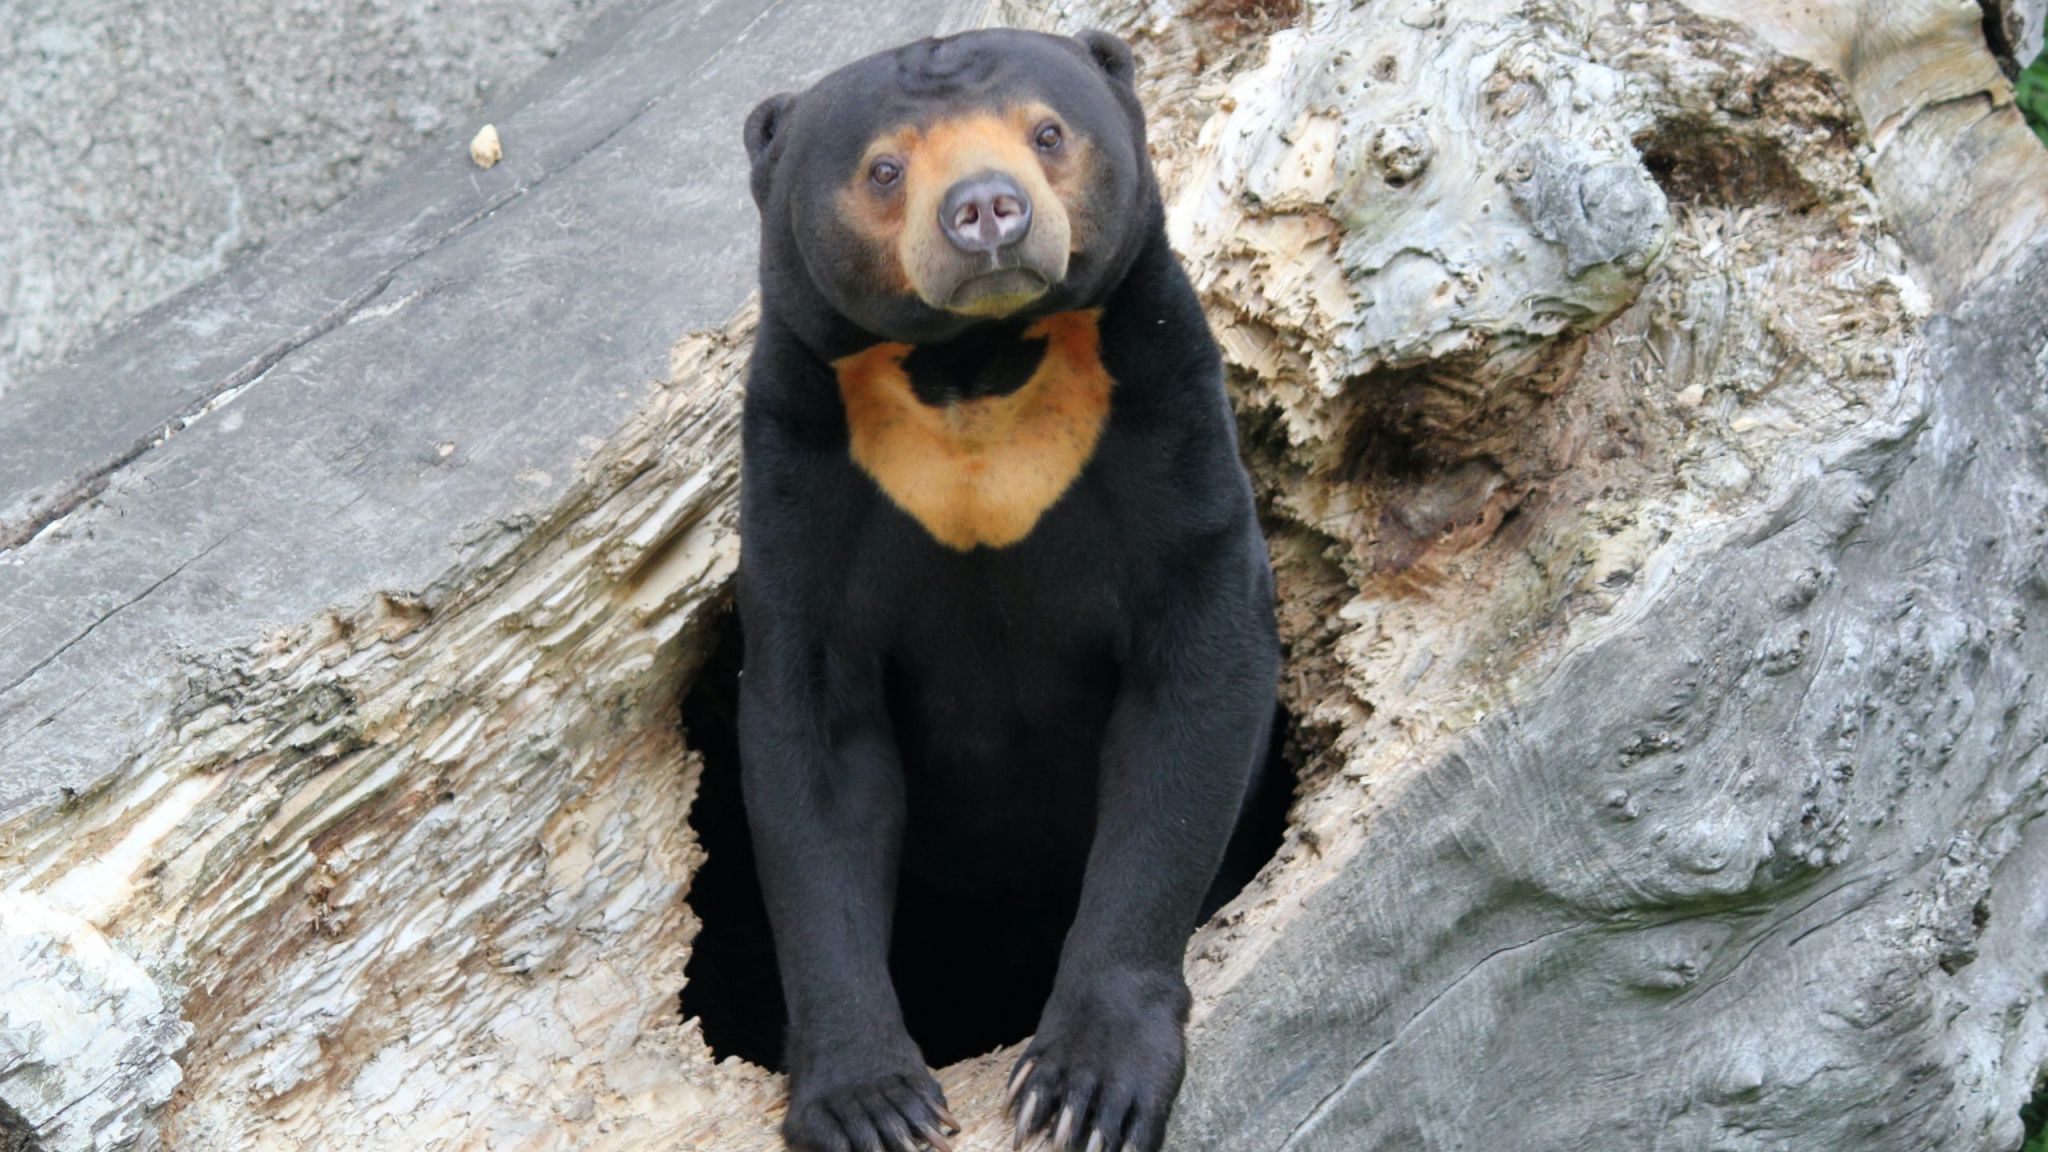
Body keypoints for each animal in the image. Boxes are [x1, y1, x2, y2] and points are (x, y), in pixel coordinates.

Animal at [736, 27, 1281, 1152]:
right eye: (884, 169)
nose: (987, 208)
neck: (973, 370)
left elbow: (1194, 696)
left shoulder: (1159, 406)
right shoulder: (801, 467)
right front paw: (869, 1104)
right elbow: (814, 762)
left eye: (1047, 132)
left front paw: (1084, 1086)